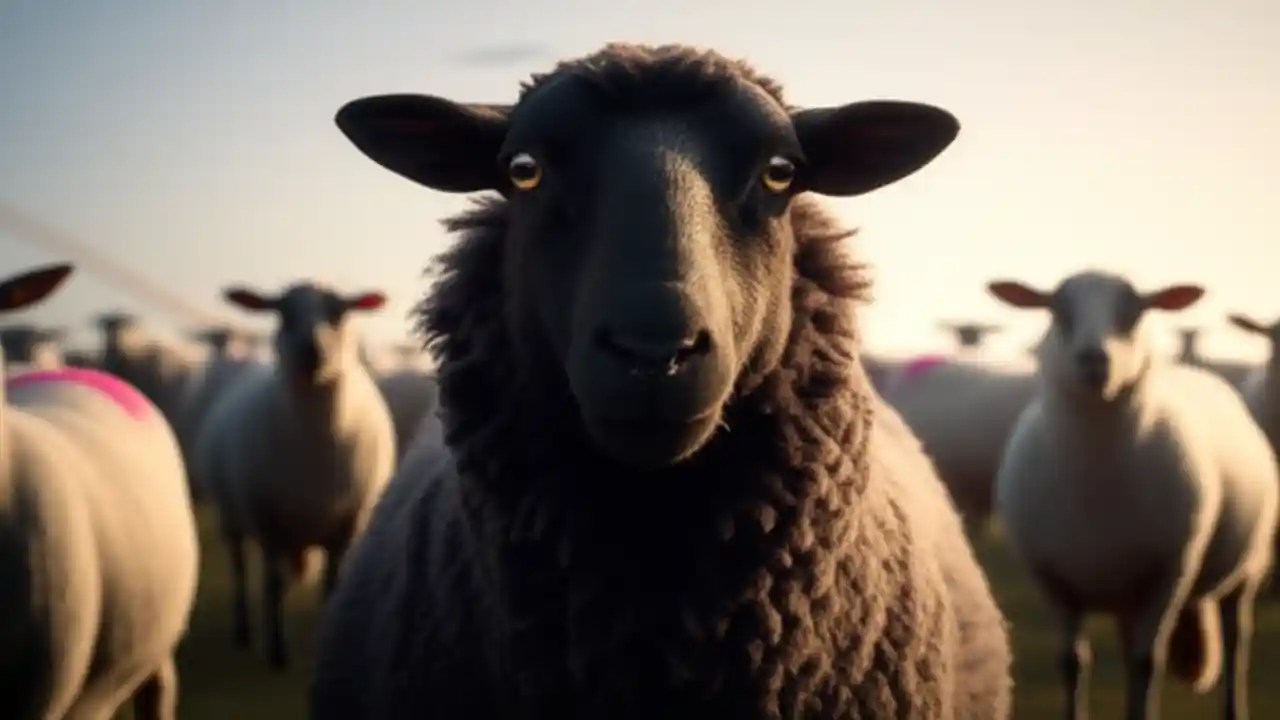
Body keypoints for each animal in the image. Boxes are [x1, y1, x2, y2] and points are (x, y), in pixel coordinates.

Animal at [194, 279, 396, 669]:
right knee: (241, 571)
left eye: (339, 312)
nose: (311, 351)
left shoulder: (347, 522)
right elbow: (271, 582)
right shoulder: (268, 518)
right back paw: (243, 631)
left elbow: (332, 585)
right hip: (232, 517)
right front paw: (277, 651)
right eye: (282, 313)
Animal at [989, 271, 1278, 720]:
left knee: (1235, 642)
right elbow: (1072, 662)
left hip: (1246, 565)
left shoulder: (1169, 572)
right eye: (1058, 310)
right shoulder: (1053, 580)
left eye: (1134, 313)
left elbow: (1146, 662)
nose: (1094, 359)